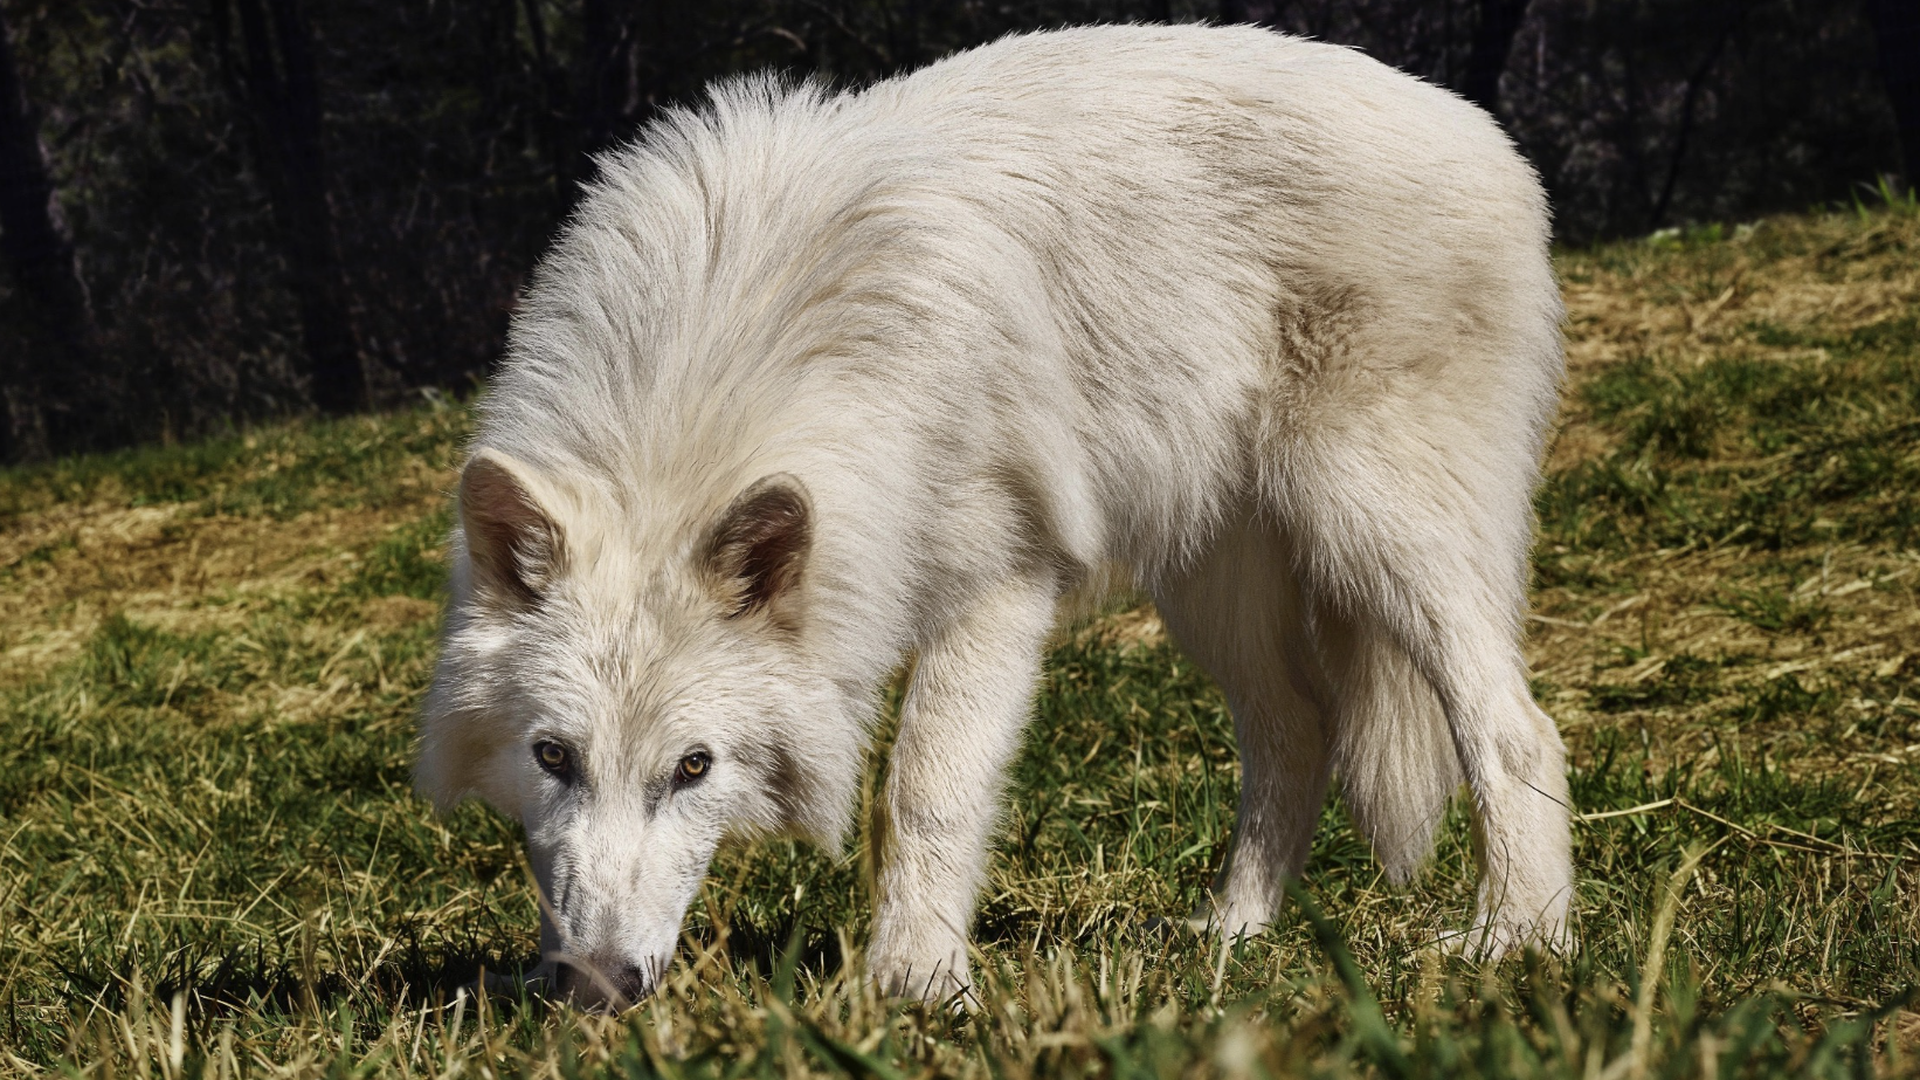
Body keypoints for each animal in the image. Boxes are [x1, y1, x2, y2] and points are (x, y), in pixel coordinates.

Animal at [417, 23, 1572, 1009]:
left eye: (694, 767)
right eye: (553, 757)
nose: (594, 988)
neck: (727, 363)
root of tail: (1484, 133)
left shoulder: (999, 586)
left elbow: (927, 790)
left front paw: (918, 986)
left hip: (1377, 535)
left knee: (1515, 728)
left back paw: (1519, 940)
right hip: (1213, 589)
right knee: (1299, 732)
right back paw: (1232, 937)